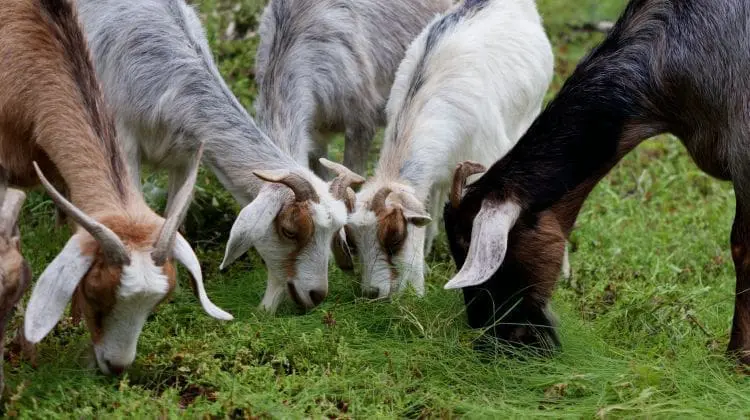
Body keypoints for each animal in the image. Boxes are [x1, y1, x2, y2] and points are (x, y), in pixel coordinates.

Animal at [74, 0, 361, 312]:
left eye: (333, 231)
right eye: (288, 230)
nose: (316, 295)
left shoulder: (186, 156)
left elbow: (173, 219)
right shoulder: (124, 146)